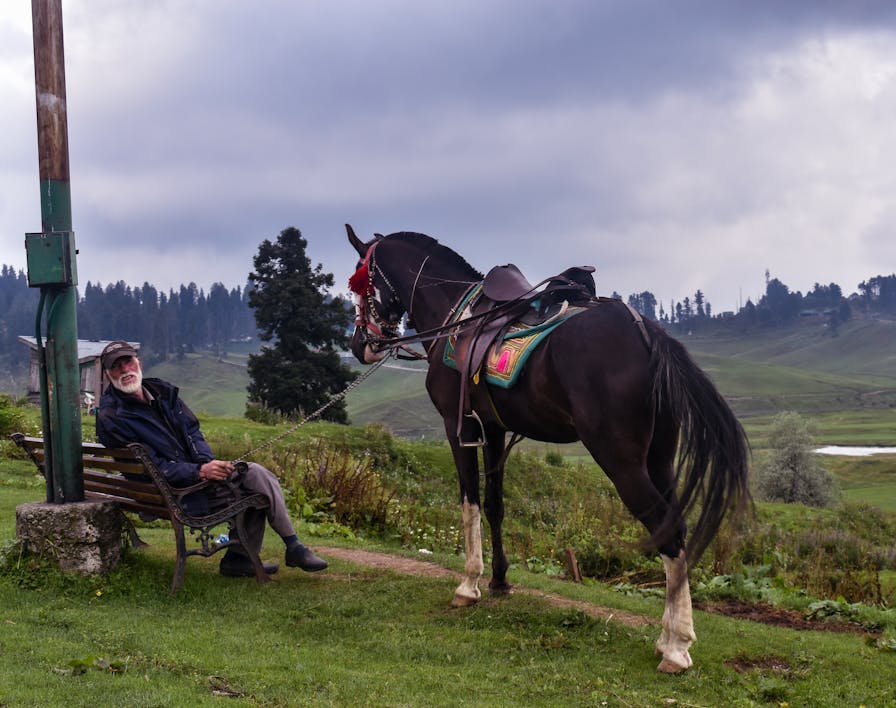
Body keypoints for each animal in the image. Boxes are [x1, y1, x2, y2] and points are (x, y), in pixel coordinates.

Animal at [345, 225, 750, 673]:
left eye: (360, 283)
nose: (360, 344)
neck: (456, 317)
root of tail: (648, 334)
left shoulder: (457, 428)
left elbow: (469, 503)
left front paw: (469, 583)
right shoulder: (494, 430)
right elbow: (495, 505)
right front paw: (499, 579)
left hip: (621, 460)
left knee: (668, 530)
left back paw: (677, 646)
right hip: (659, 458)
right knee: (671, 527)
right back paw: (668, 638)